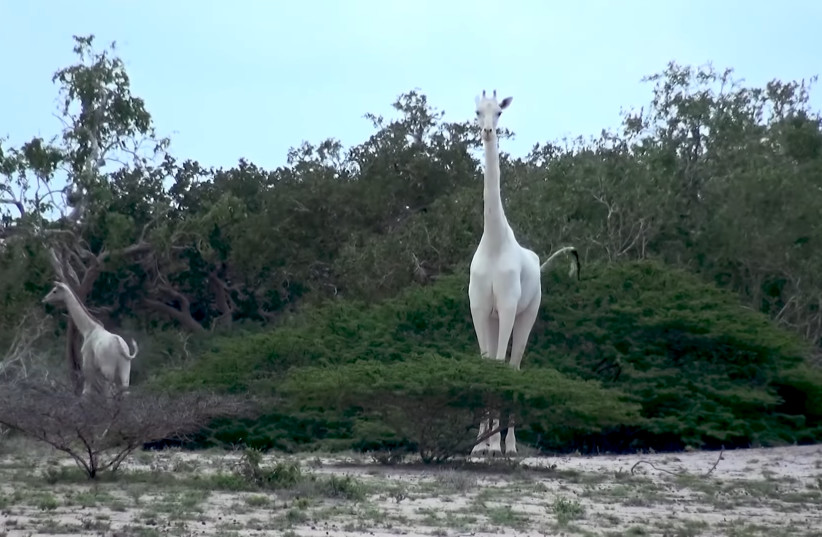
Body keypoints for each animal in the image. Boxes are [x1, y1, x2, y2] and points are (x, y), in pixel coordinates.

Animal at [468, 90, 580, 456]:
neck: (494, 241)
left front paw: (495, 445)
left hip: (527, 313)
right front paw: (478, 445)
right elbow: (486, 364)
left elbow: (503, 366)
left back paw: (512, 444)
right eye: (478, 112)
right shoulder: (479, 309)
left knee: (515, 366)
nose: (488, 131)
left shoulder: (506, 307)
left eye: (499, 113)